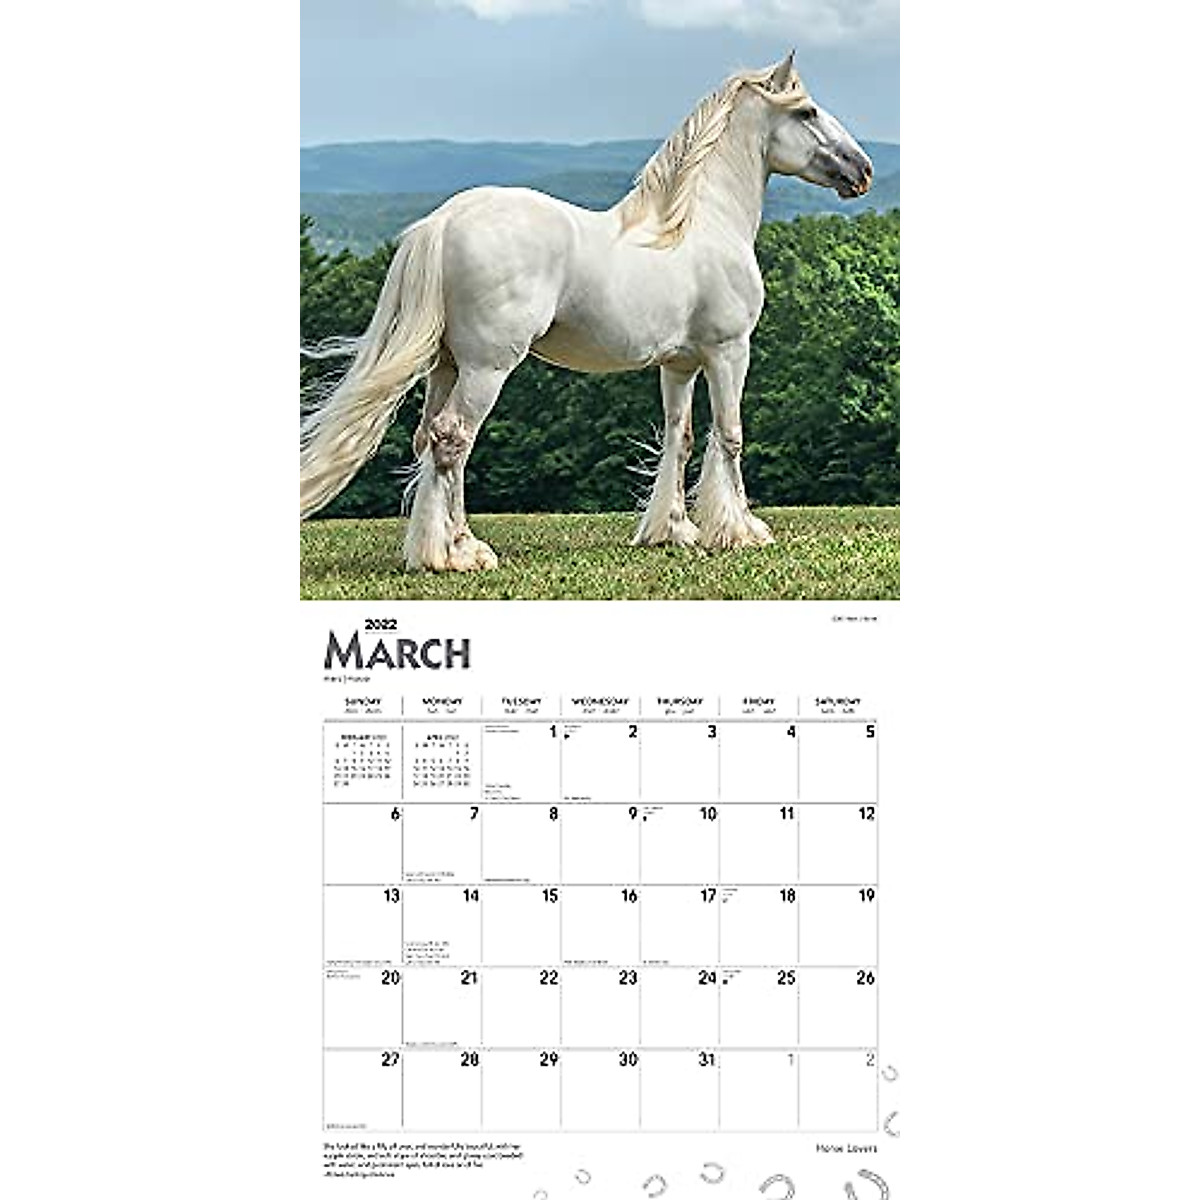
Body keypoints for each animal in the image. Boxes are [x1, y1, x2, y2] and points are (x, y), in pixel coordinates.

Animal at [300, 52, 872, 572]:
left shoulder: (679, 364)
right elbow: (730, 436)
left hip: (446, 366)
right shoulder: (729, 352)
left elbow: (681, 439)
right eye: (807, 112)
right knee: (452, 440)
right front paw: (740, 531)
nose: (861, 169)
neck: (703, 225)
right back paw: (464, 552)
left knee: (426, 438)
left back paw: (430, 552)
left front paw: (672, 531)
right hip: (487, 367)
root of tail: (444, 221)